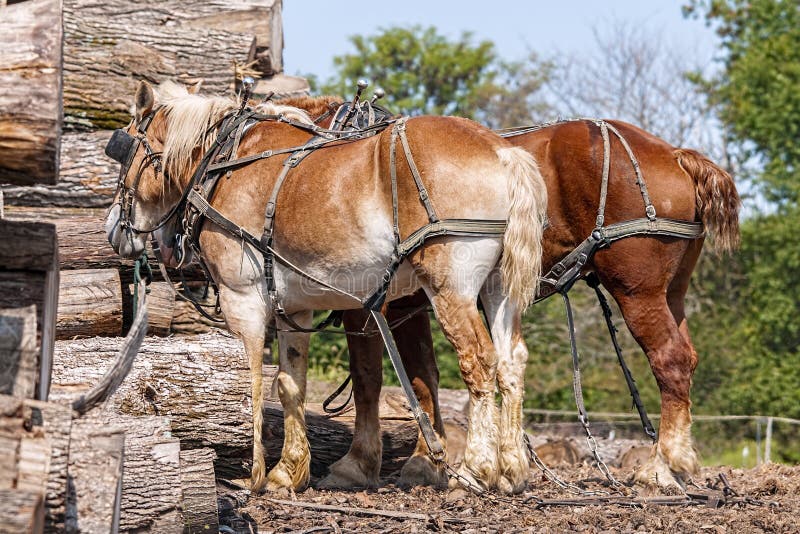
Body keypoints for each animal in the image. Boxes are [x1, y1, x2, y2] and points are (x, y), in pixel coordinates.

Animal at [104, 81, 548, 494]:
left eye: (124, 150)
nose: (114, 229)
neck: (226, 161)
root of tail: (502, 153)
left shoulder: (242, 297)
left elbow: (250, 381)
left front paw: (254, 473)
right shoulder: (293, 307)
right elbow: (289, 385)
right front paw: (288, 472)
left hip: (450, 288)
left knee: (479, 361)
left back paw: (475, 470)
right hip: (499, 288)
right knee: (511, 360)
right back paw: (513, 470)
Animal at [323, 116, 740, 493]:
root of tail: (675, 155)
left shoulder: (375, 301)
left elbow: (372, 377)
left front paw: (362, 464)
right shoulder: (412, 302)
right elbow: (424, 375)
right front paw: (428, 461)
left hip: (639, 292)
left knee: (671, 360)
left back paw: (661, 468)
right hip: (673, 293)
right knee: (687, 356)